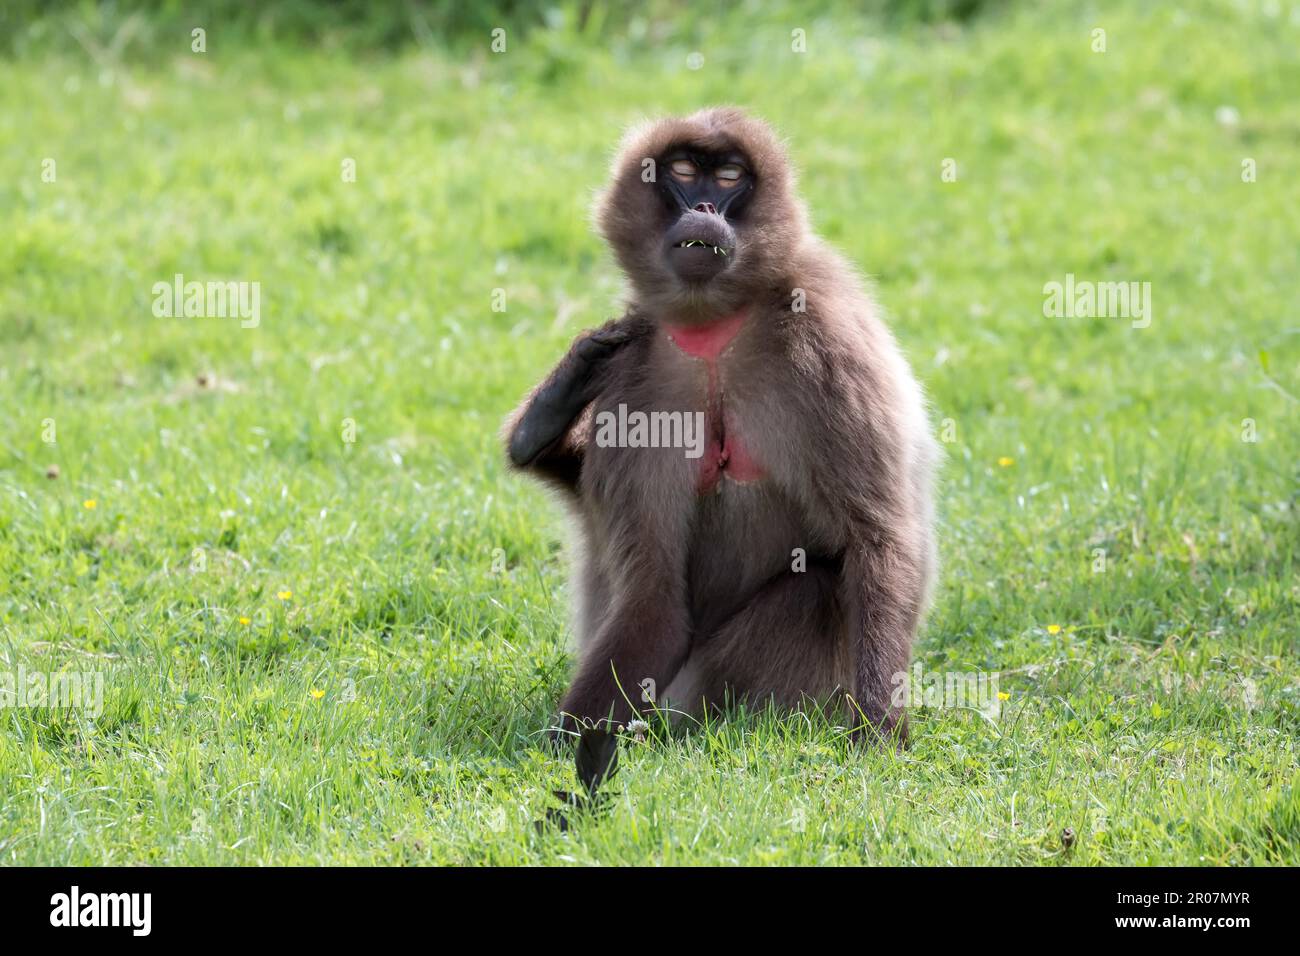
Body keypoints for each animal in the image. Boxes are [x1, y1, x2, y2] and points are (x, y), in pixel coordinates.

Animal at [503, 107, 938, 745]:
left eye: (730, 177)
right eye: (684, 171)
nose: (707, 206)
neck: (714, 328)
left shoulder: (828, 342)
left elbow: (878, 539)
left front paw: (879, 732)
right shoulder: (635, 374)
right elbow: (652, 592)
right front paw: (573, 746)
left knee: (814, 585)